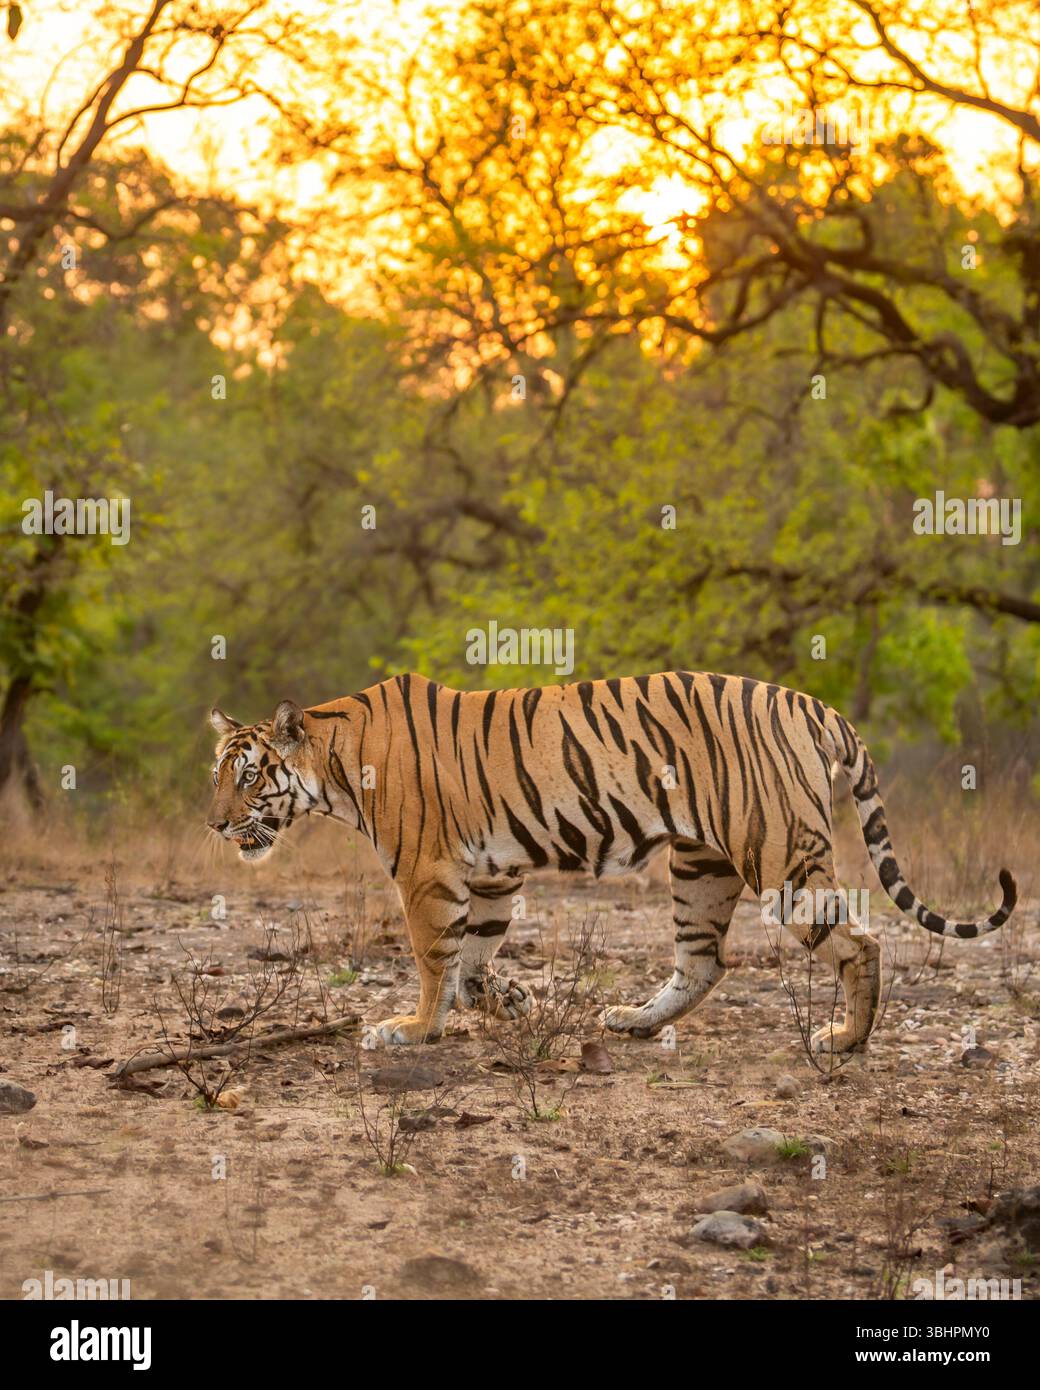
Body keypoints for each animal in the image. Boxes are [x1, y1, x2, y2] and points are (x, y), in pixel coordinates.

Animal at [206, 671, 1016, 1050]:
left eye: (246, 777)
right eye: (216, 773)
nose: (213, 824)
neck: (333, 766)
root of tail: (812, 704)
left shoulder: (427, 875)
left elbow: (436, 961)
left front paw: (411, 1029)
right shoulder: (491, 871)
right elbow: (473, 960)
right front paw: (510, 1001)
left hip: (779, 857)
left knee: (862, 943)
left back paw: (847, 1041)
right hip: (701, 866)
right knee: (703, 963)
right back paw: (633, 1020)